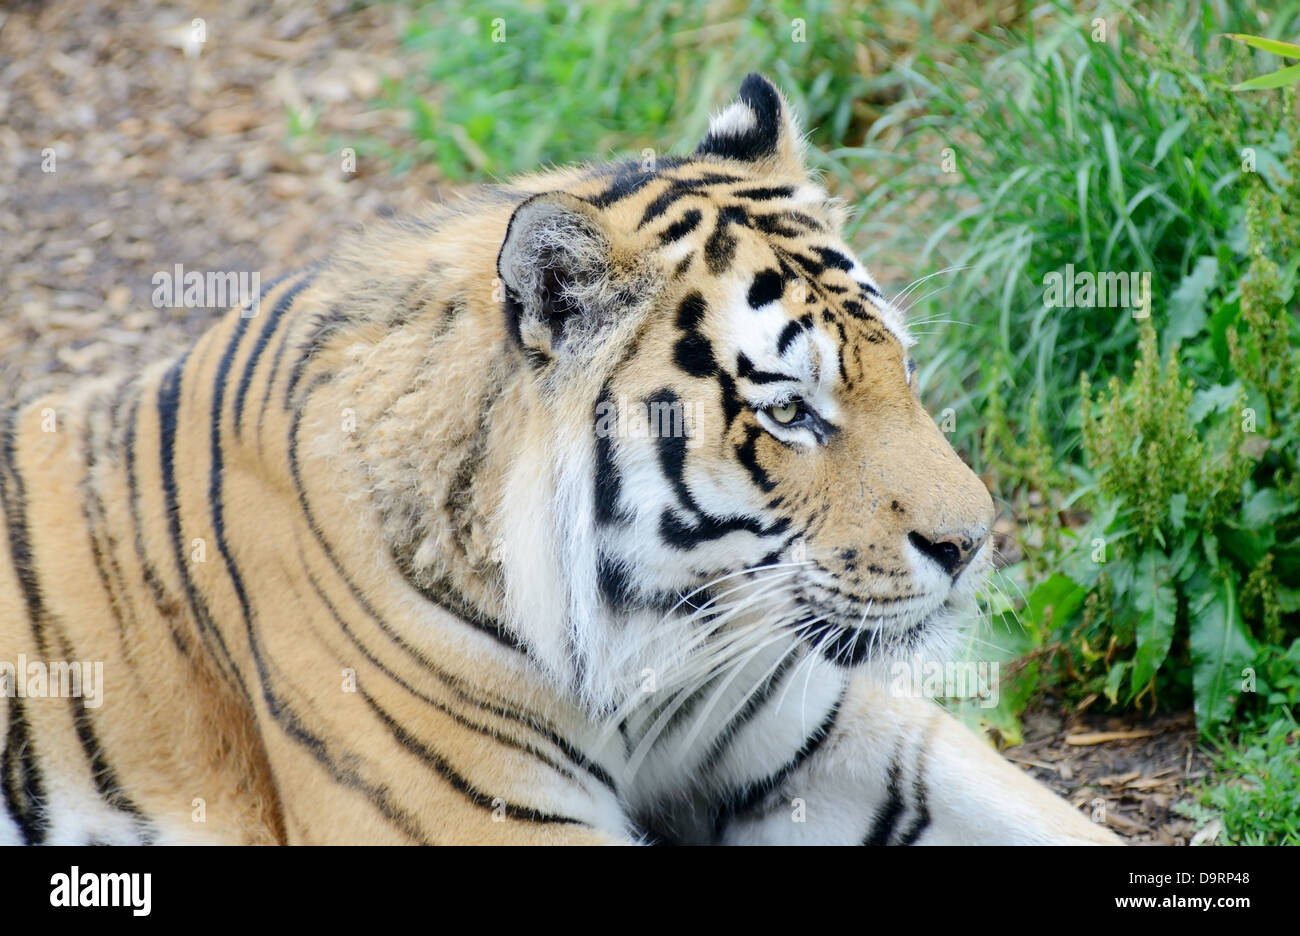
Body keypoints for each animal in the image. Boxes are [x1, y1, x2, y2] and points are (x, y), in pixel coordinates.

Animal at [0, 73, 1119, 845]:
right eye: (790, 411)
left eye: (904, 368)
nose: (972, 543)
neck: (656, 632)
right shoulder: (479, 819)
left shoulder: (827, 730)